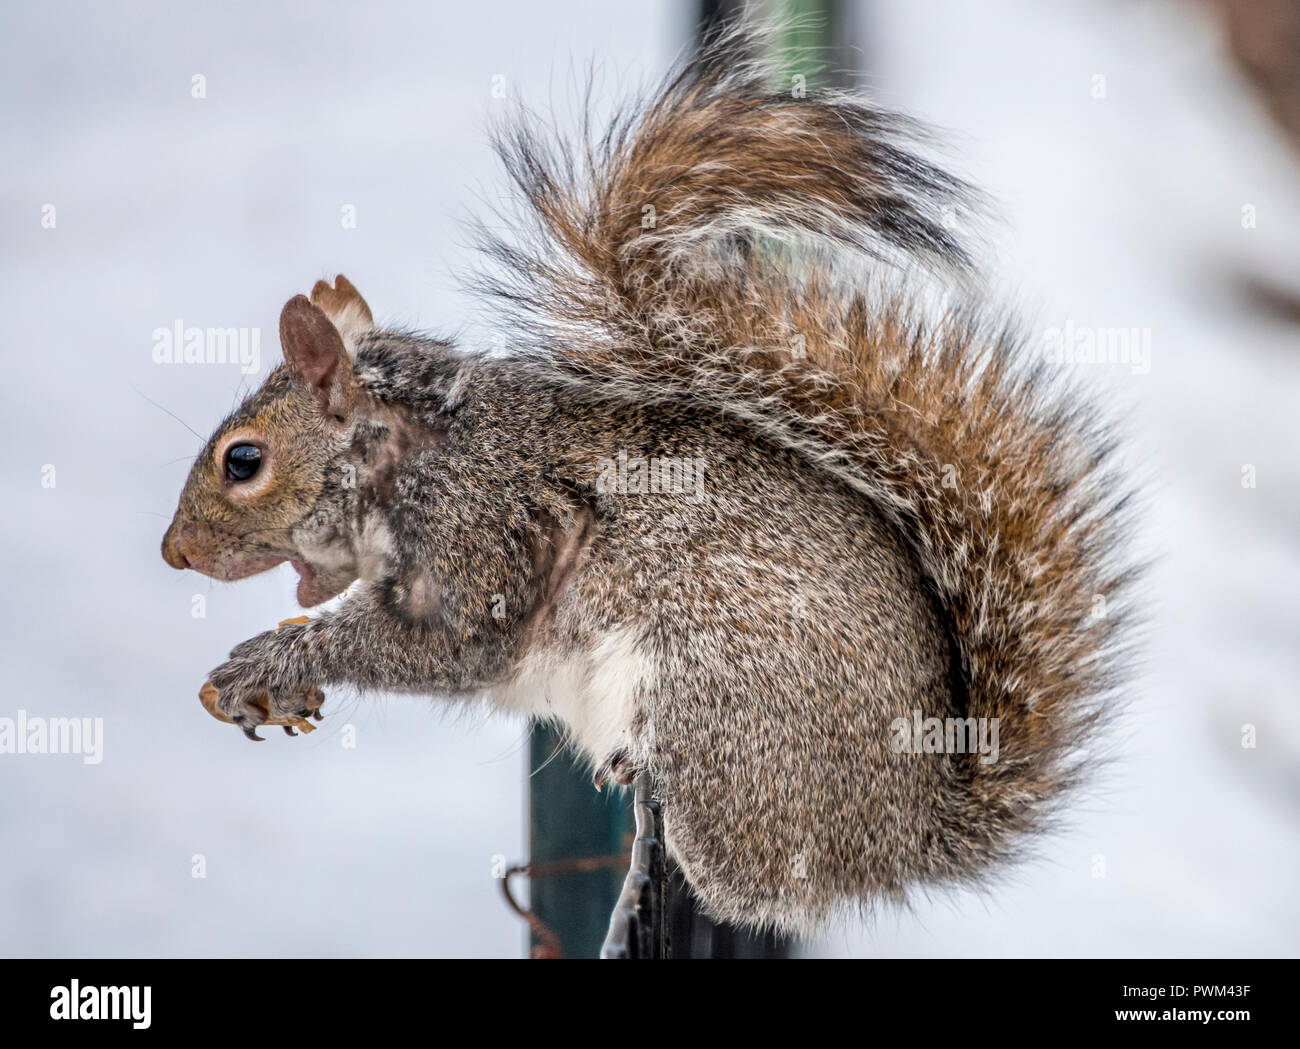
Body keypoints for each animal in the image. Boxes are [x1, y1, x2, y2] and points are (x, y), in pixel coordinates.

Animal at [161, 25, 1137, 934]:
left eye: (242, 460)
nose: (173, 553)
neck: (414, 449)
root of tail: (905, 836)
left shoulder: (478, 538)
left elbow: (439, 645)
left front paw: (267, 659)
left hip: (713, 707)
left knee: (764, 891)